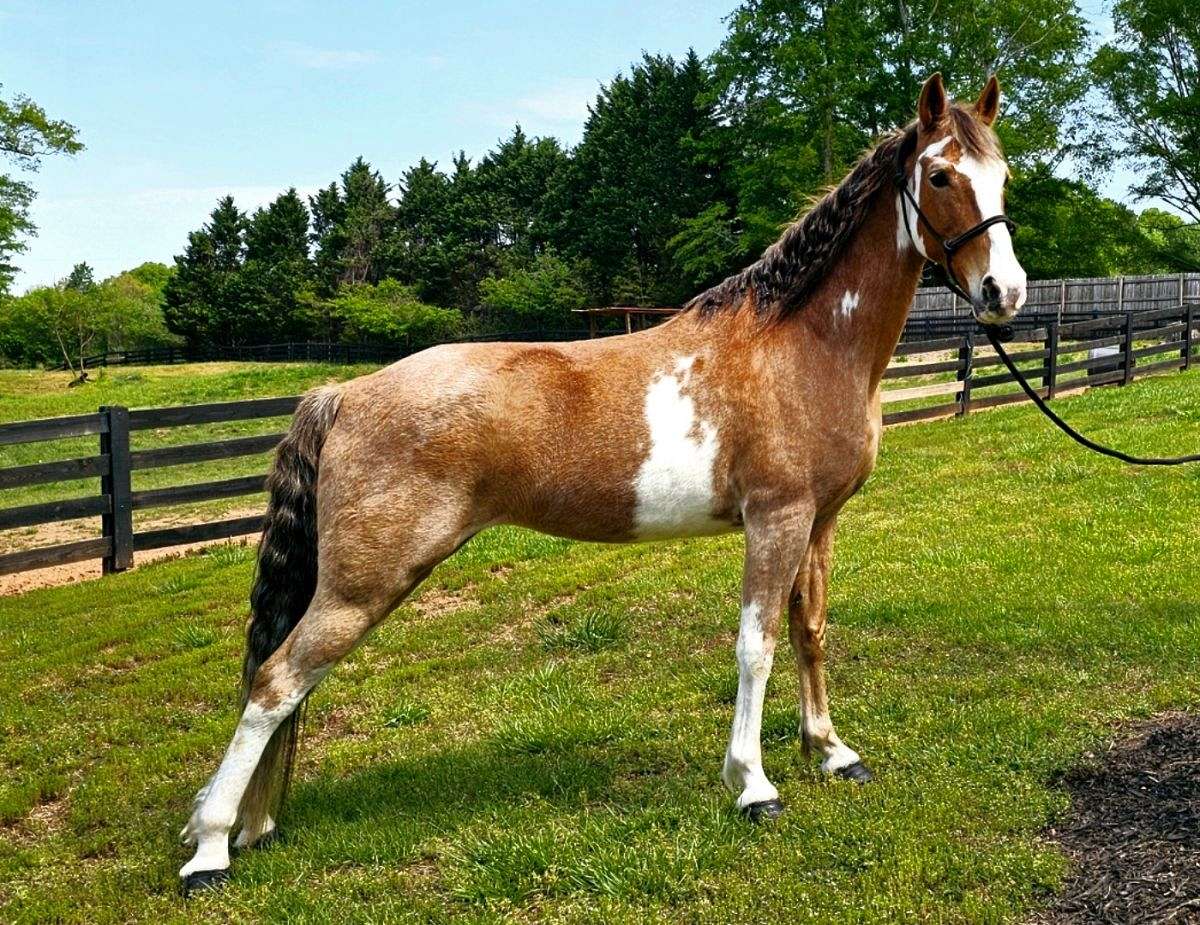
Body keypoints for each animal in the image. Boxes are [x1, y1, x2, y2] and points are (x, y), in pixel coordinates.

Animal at [179, 72, 1027, 893]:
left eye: (1004, 175)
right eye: (942, 175)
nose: (1005, 293)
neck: (802, 345)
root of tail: (346, 392)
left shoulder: (819, 522)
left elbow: (808, 630)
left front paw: (831, 750)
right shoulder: (776, 519)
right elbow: (755, 645)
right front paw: (753, 784)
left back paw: (243, 825)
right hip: (362, 584)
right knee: (275, 681)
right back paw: (210, 850)